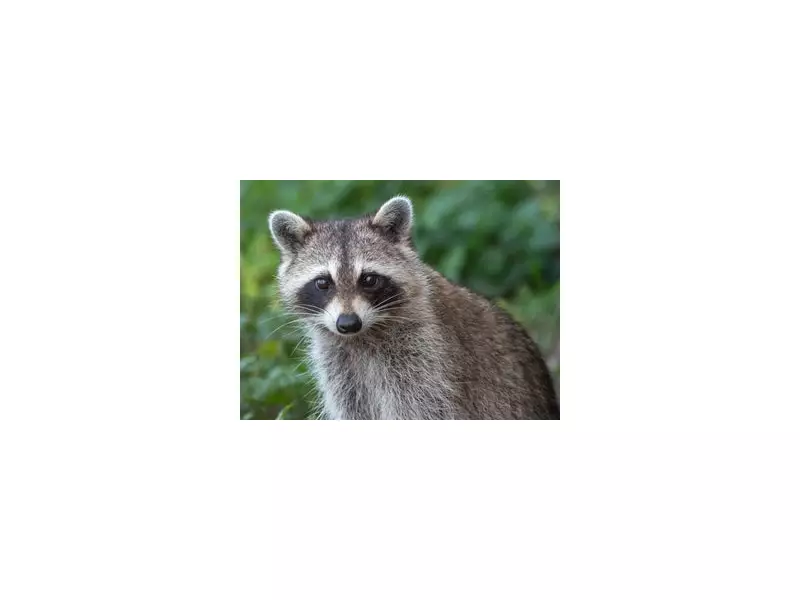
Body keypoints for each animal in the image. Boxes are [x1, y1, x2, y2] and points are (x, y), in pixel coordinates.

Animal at [268, 196, 559, 420]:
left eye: (369, 279)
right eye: (323, 283)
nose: (348, 323)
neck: (364, 336)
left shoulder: (427, 356)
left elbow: (422, 409)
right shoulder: (340, 368)